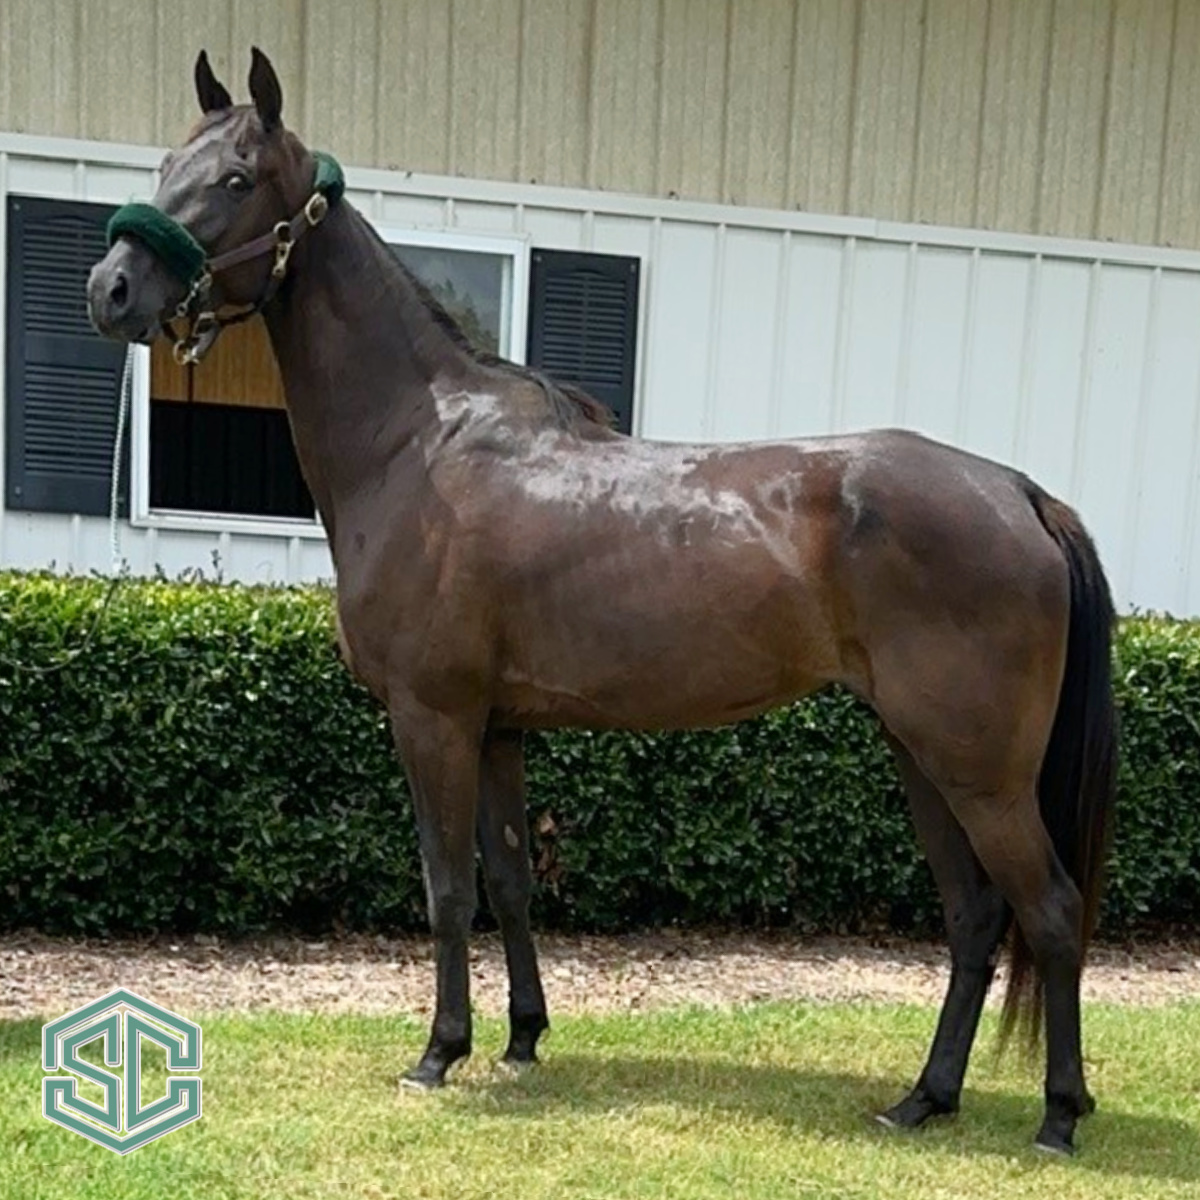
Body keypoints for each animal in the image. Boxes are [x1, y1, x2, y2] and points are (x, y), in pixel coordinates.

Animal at [87, 48, 1117, 1156]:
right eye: (166, 164)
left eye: (237, 180)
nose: (110, 289)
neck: (416, 442)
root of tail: (1020, 492)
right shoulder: (498, 727)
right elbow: (507, 882)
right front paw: (522, 1037)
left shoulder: (433, 718)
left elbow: (447, 887)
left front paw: (439, 1052)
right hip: (923, 756)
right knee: (974, 917)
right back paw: (923, 1098)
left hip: (981, 773)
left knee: (1049, 910)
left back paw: (1057, 1116)